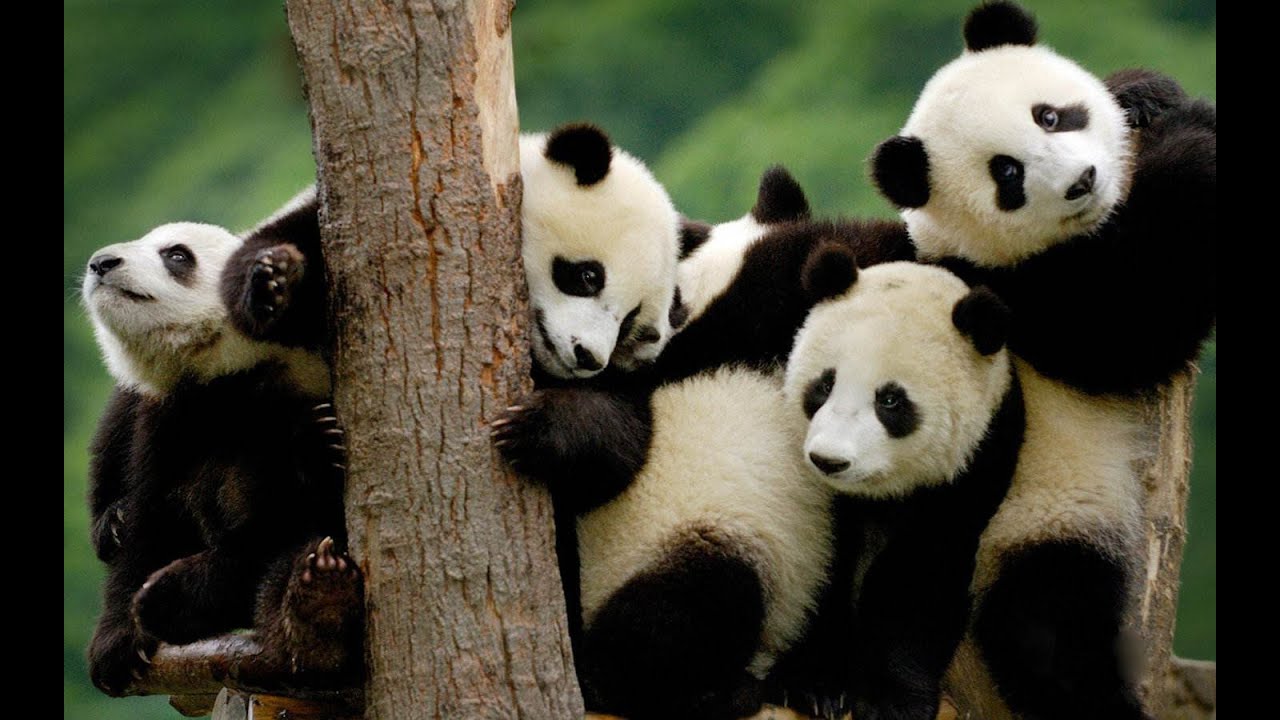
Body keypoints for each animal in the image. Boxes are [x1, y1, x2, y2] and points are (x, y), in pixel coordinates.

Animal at [82, 198, 362, 696]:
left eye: (176, 255)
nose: (102, 263)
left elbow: (274, 525)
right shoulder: (173, 416)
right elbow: (150, 518)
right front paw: (117, 643)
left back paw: (316, 611)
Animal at [494, 167, 916, 718]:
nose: (649, 338)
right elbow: (613, 456)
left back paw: (810, 684)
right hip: (665, 550)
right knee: (686, 608)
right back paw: (712, 689)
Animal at [771, 259, 1023, 720]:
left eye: (890, 401)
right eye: (824, 385)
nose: (829, 460)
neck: (877, 493)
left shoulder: (976, 462)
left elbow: (921, 575)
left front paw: (889, 701)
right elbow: (823, 557)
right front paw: (813, 684)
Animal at [868, 3, 1216, 718]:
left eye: (1050, 116)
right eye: (1007, 174)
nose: (1083, 181)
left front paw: (1145, 95)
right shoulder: (1015, 296)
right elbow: (1131, 321)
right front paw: (1197, 139)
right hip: (1033, 515)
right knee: (1049, 633)